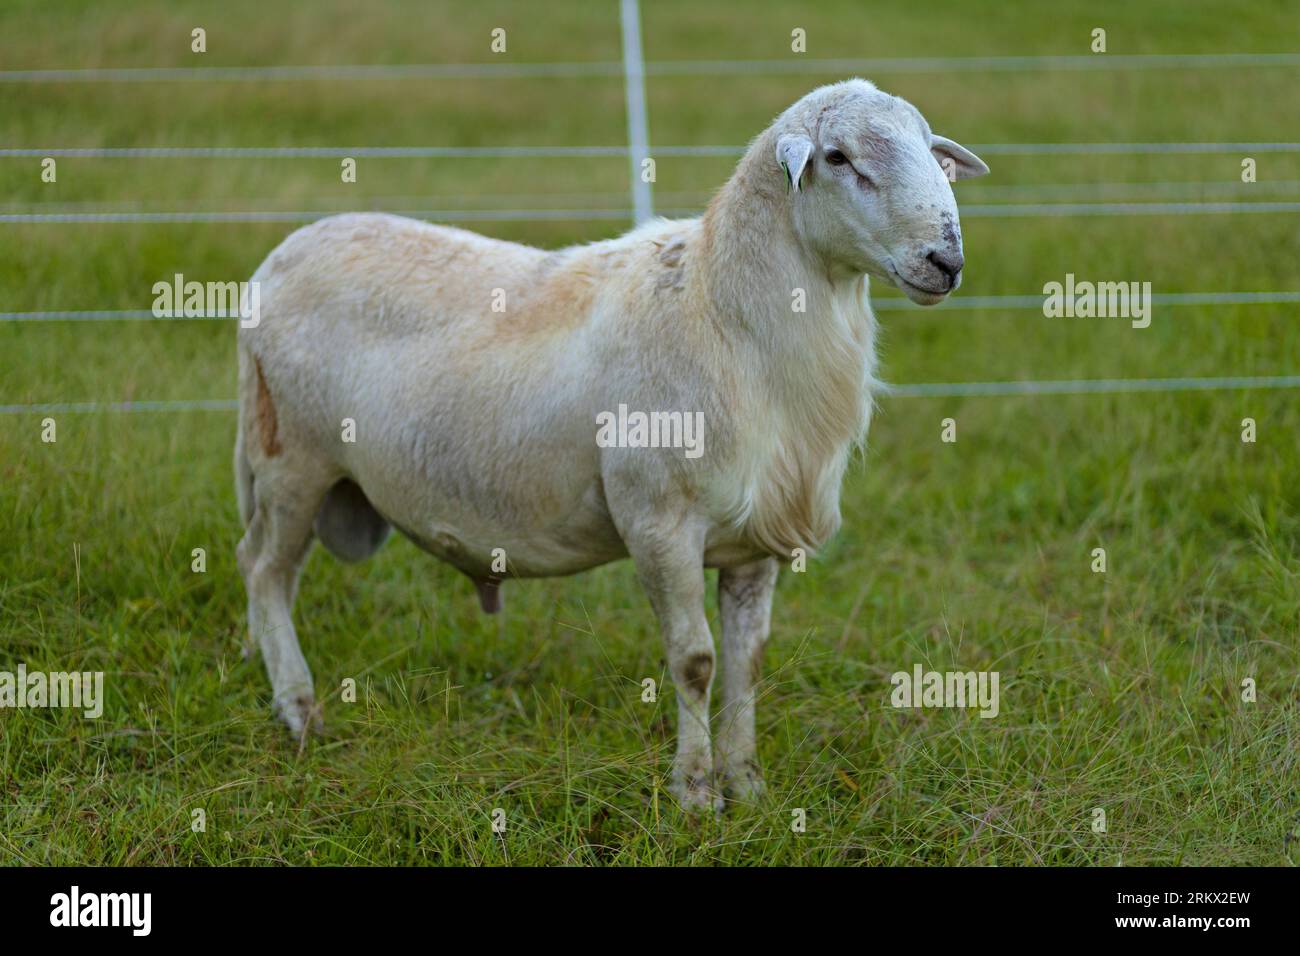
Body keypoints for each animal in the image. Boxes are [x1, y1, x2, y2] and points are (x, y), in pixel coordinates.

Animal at [234, 78, 988, 811]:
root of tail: (278, 257)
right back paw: (298, 707)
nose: (946, 261)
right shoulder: (659, 521)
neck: (719, 313)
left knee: (265, 568)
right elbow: (695, 661)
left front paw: (747, 785)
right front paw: (694, 794)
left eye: (932, 150)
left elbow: (747, 664)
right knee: (265, 570)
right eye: (837, 158)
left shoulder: (753, 543)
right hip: (291, 459)